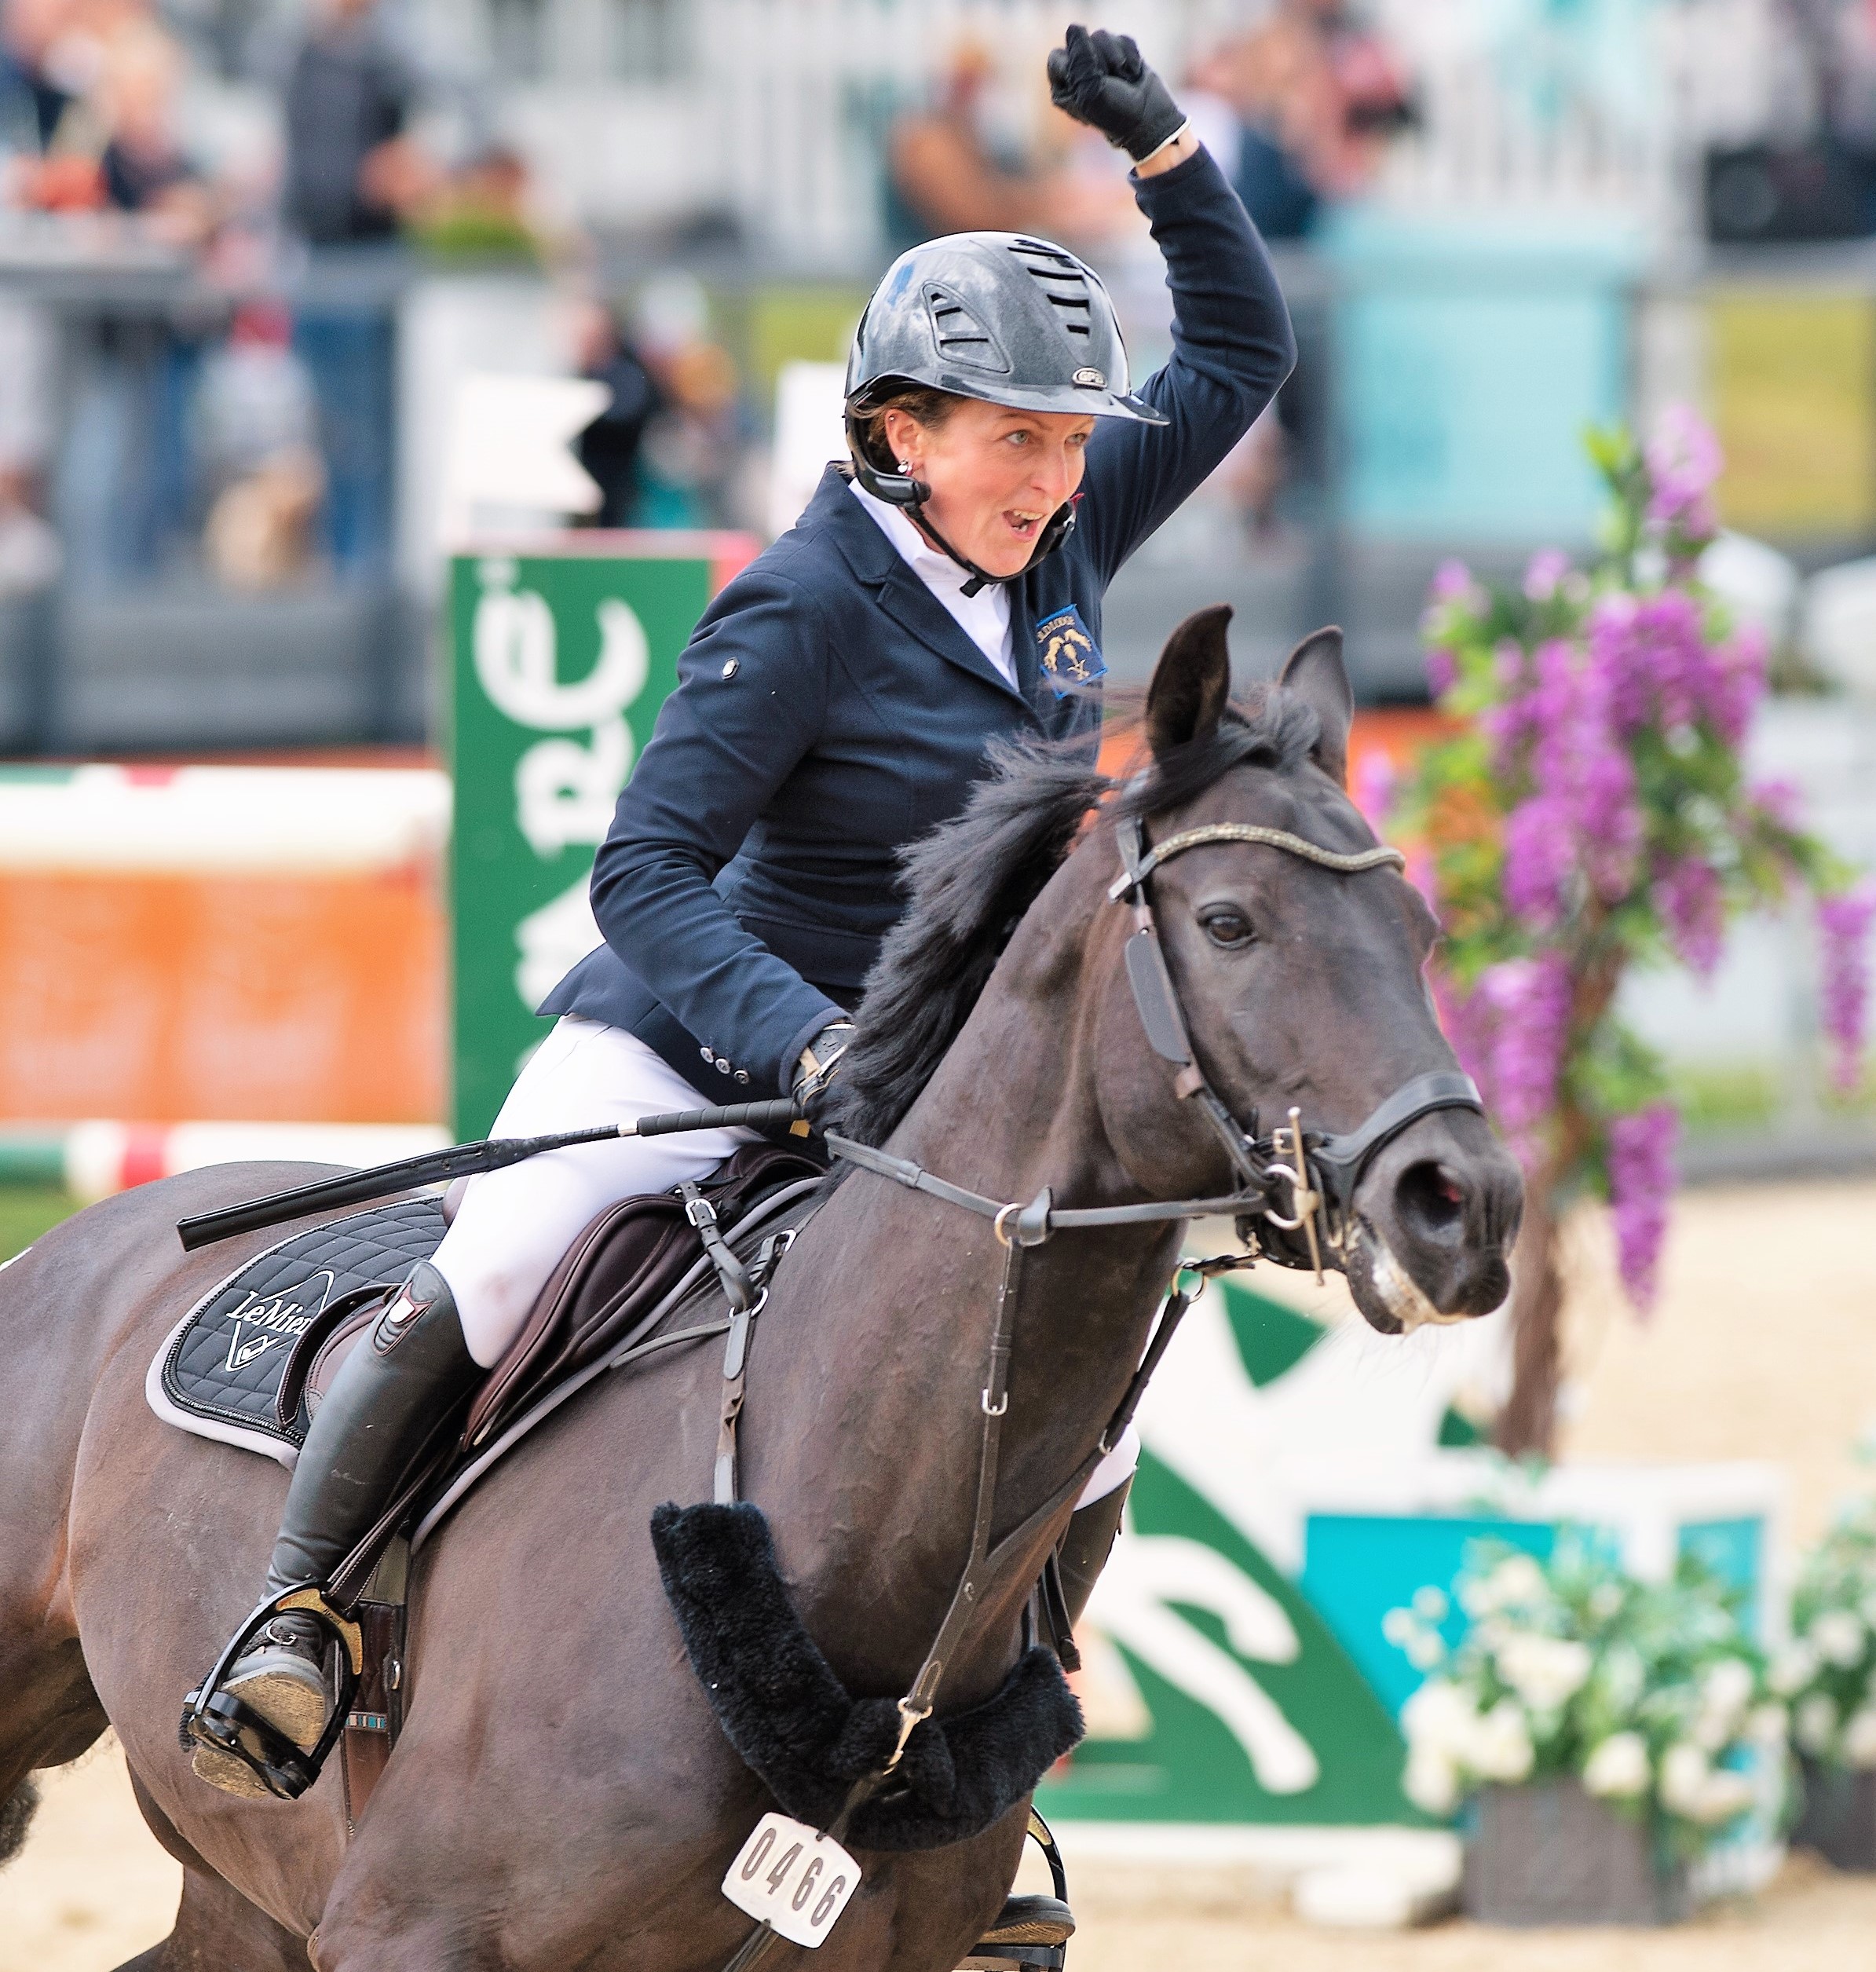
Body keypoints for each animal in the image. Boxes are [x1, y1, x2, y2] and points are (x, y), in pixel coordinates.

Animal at [0, 606, 1521, 1972]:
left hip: (244, 1900)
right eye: (1226, 921)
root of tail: (81, 1241)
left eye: (1421, 926)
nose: (1464, 1204)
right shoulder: (405, 1934)